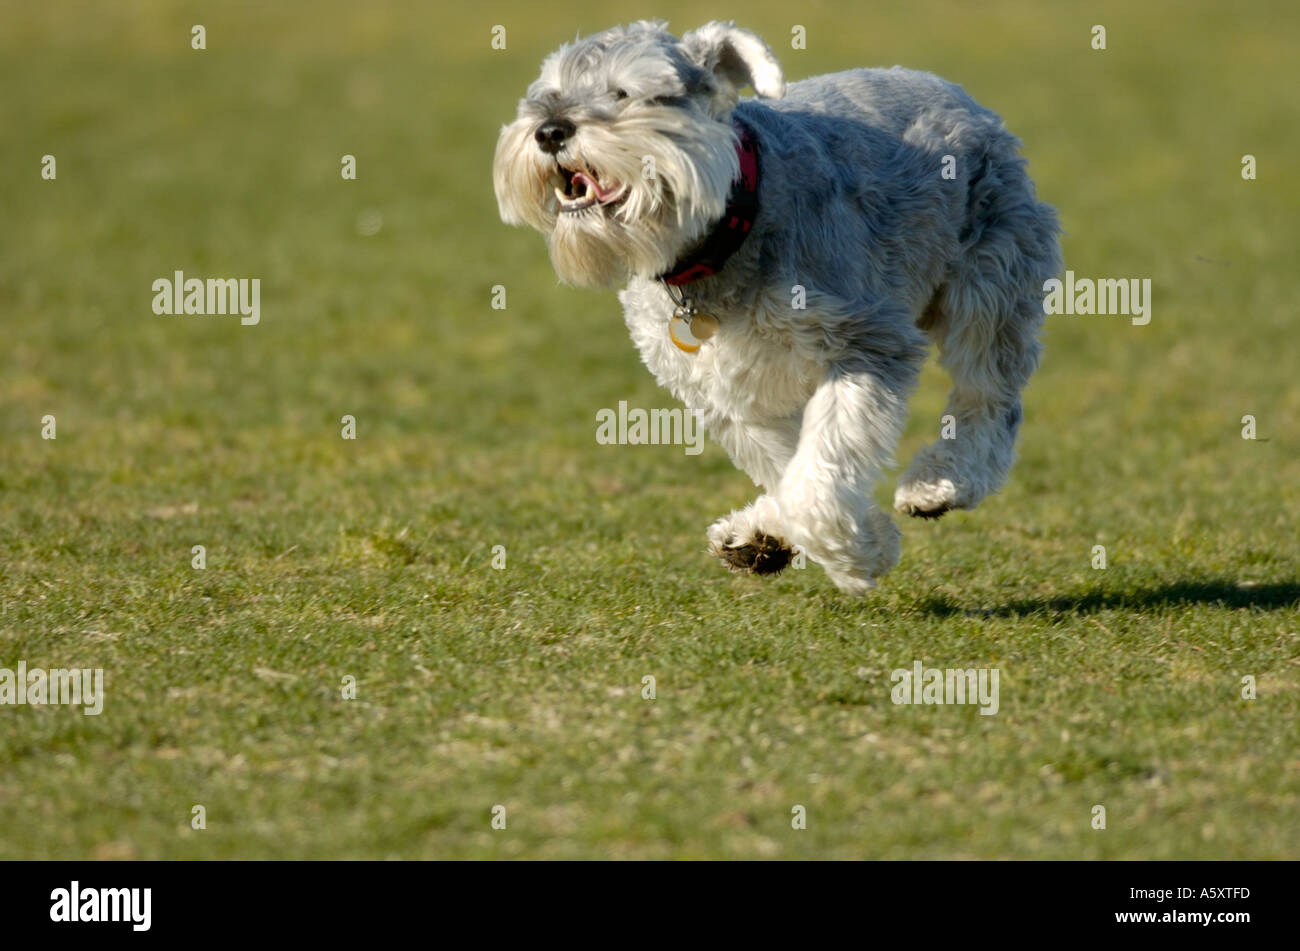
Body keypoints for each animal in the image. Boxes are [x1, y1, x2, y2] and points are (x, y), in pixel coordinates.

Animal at [491, 20, 1060, 595]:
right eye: (548, 91)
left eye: (624, 92)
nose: (549, 131)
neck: (728, 230)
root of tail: (960, 97)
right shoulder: (728, 395)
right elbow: (788, 469)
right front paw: (781, 536)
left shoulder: (866, 343)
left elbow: (820, 470)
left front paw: (860, 553)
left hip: (989, 290)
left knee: (987, 398)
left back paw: (939, 482)